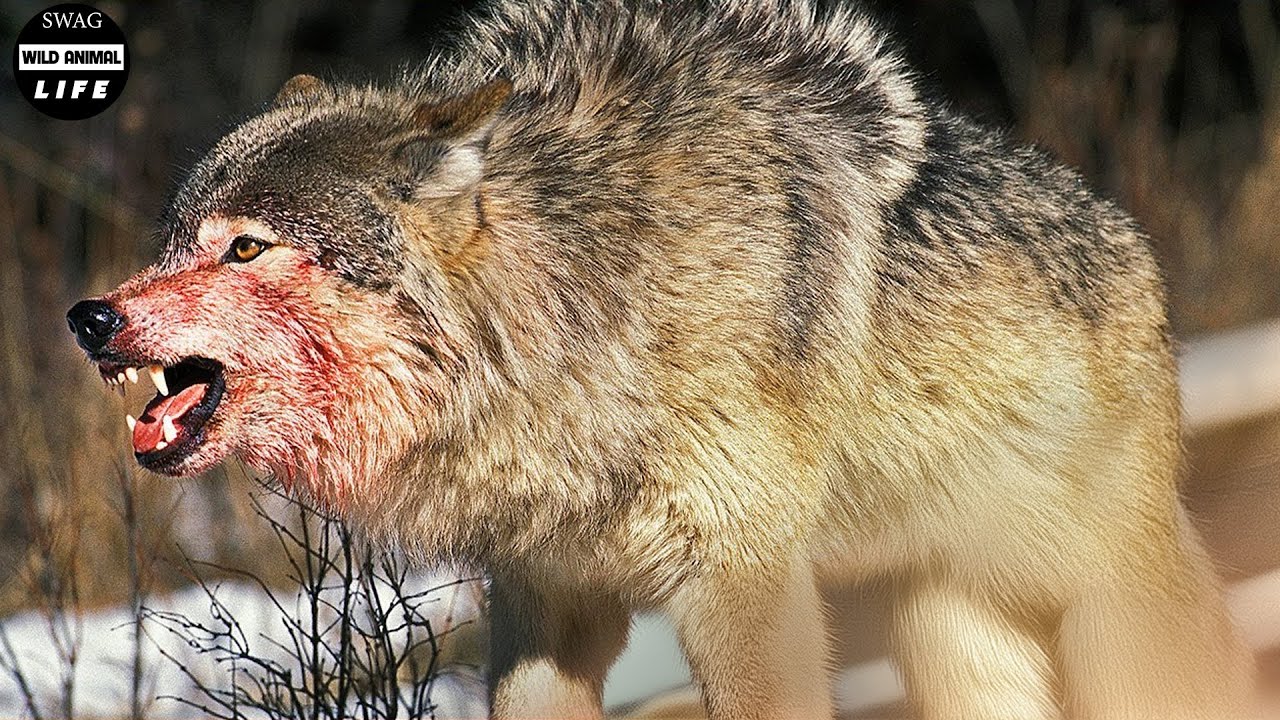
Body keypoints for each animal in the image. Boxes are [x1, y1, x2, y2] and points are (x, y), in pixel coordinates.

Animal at [67, 1, 1254, 718]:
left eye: (246, 247)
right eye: (173, 240)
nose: (87, 317)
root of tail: (1137, 252)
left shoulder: (741, 580)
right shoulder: (547, 598)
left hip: (1110, 623)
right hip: (948, 635)